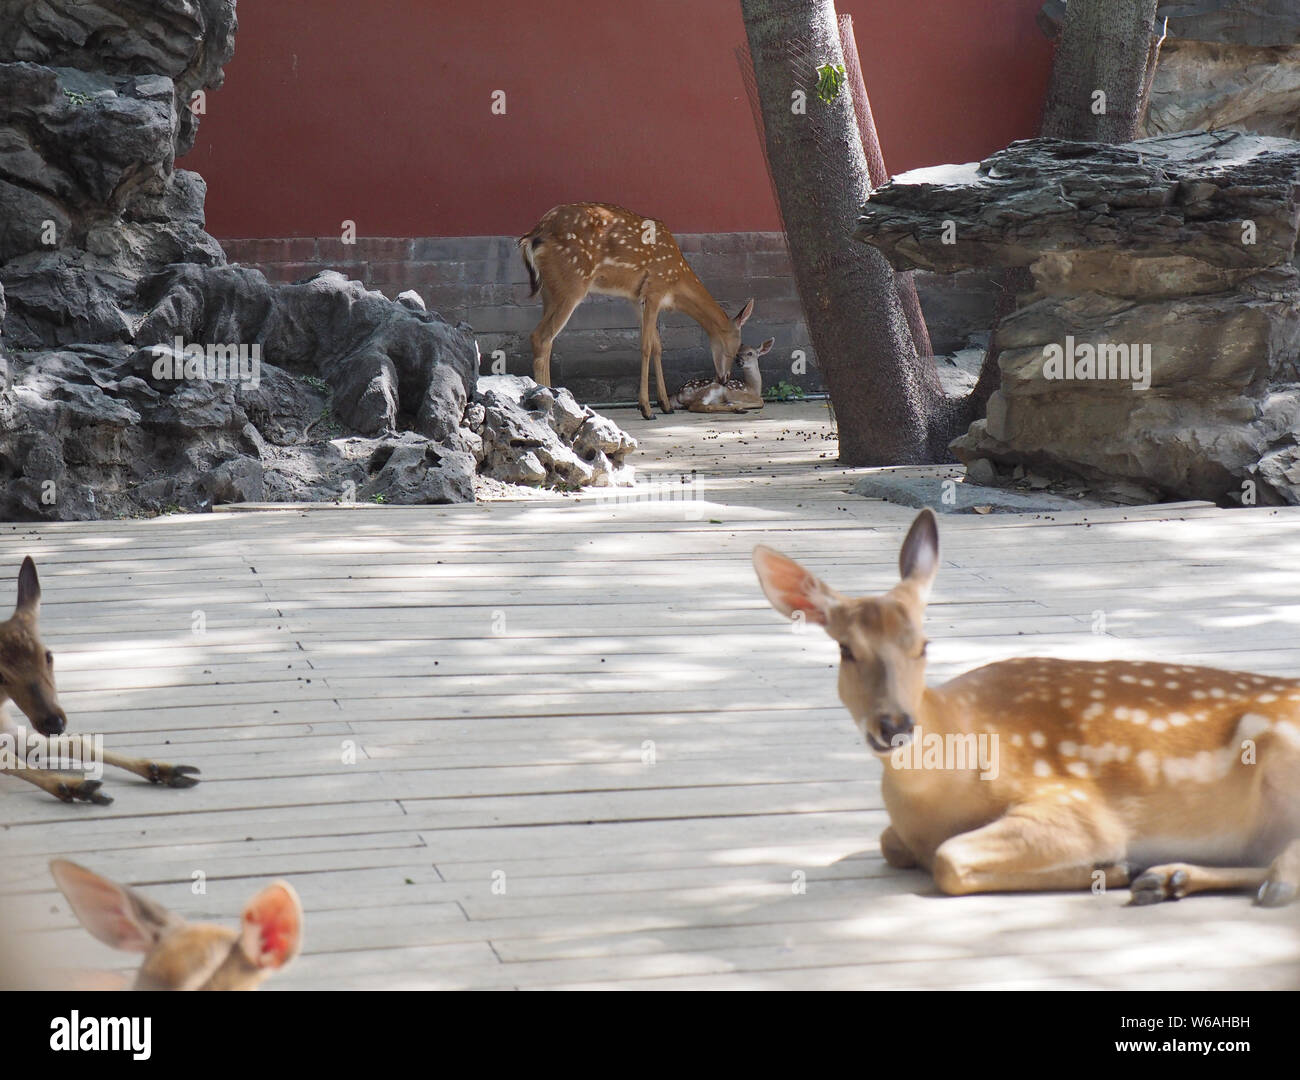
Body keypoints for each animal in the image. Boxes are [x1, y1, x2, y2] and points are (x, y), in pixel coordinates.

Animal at [0, 556, 199, 804]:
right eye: (0, 675)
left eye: (48, 655)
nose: (54, 723)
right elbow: (9, 759)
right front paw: (74, 786)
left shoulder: (12, 729)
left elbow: (75, 743)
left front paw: (164, 768)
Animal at [519, 202, 758, 421]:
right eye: (735, 347)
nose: (724, 379)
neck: (676, 280)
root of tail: (533, 236)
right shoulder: (655, 289)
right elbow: (646, 347)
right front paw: (646, 409)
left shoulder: (636, 298)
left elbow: (658, 346)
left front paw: (665, 405)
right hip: (572, 282)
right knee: (541, 337)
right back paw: (548, 406)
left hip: (549, 292)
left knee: (546, 339)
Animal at [753, 509, 1300, 907]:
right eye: (846, 650)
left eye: (923, 645)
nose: (895, 724)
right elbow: (892, 844)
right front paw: (1123, 870)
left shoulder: (1073, 803)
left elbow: (948, 860)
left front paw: (1113, 865)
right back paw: (1167, 879)